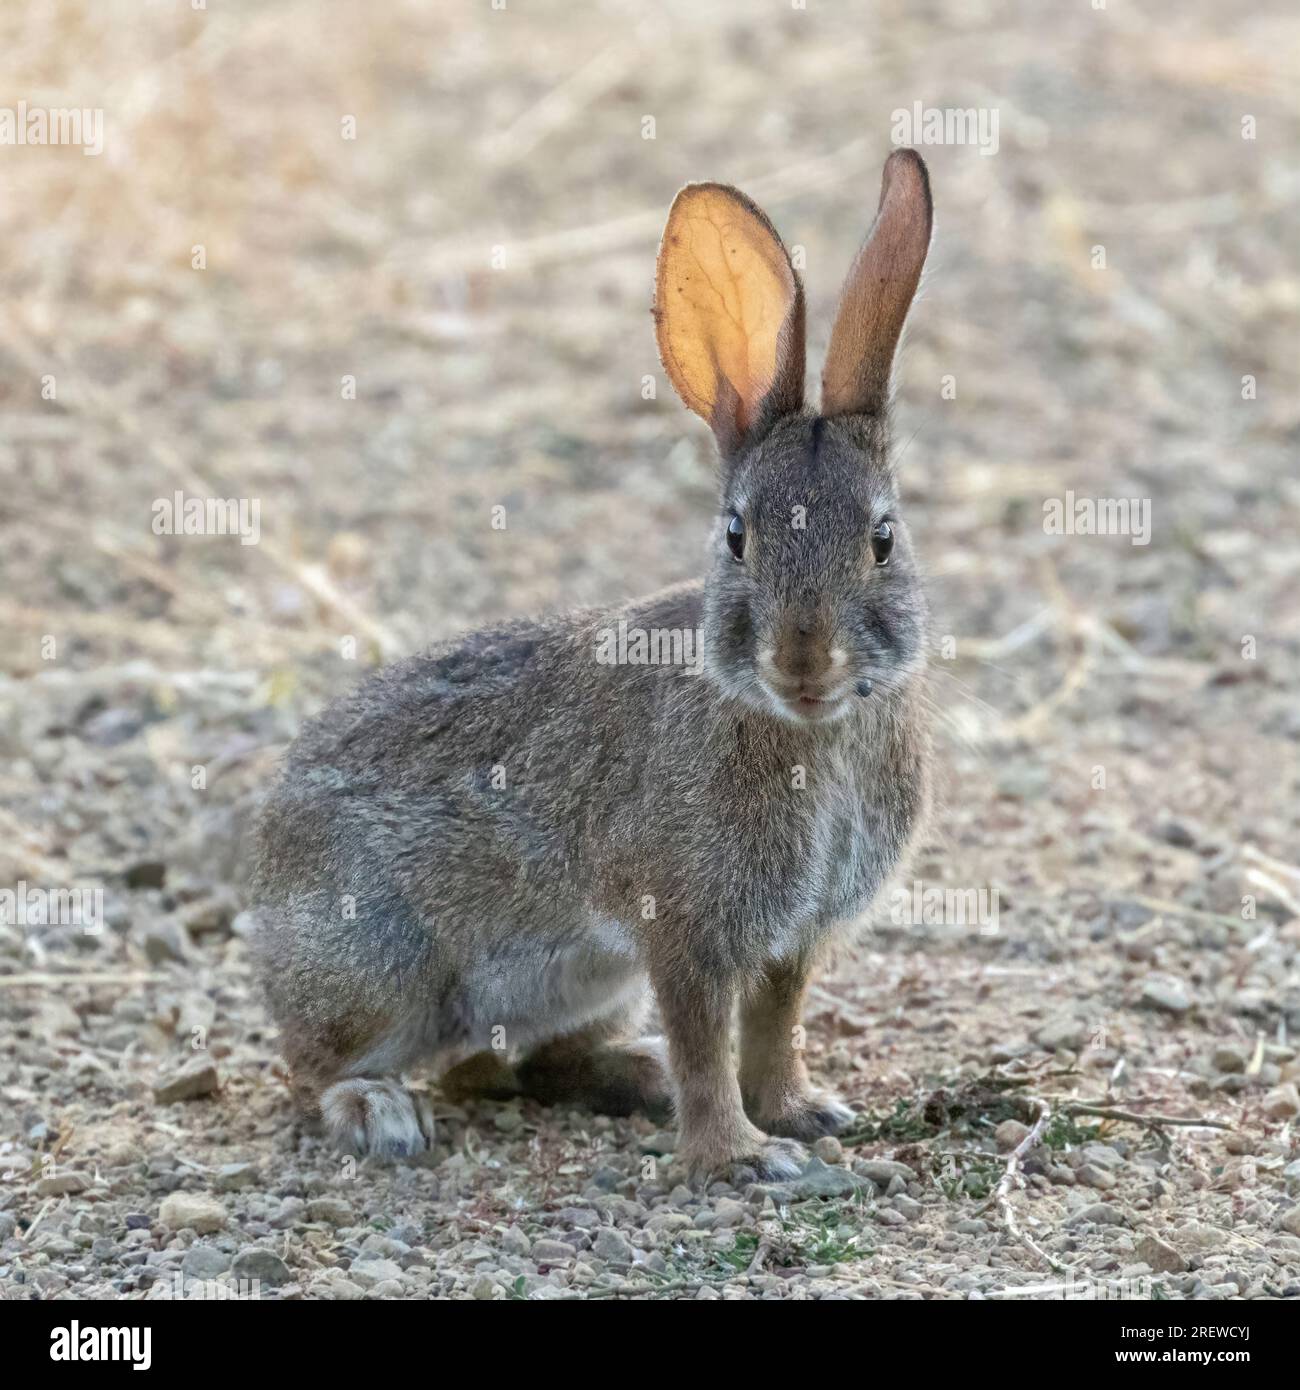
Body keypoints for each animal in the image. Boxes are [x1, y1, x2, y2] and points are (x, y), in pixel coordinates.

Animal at [251, 148, 935, 1183]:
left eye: (883, 539)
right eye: (737, 537)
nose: (804, 660)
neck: (810, 729)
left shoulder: (791, 938)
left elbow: (774, 1027)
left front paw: (803, 1113)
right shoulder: (682, 928)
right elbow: (707, 1043)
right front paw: (741, 1156)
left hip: (591, 979)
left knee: (517, 1065)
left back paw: (632, 1074)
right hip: (379, 966)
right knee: (324, 1067)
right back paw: (380, 1113)